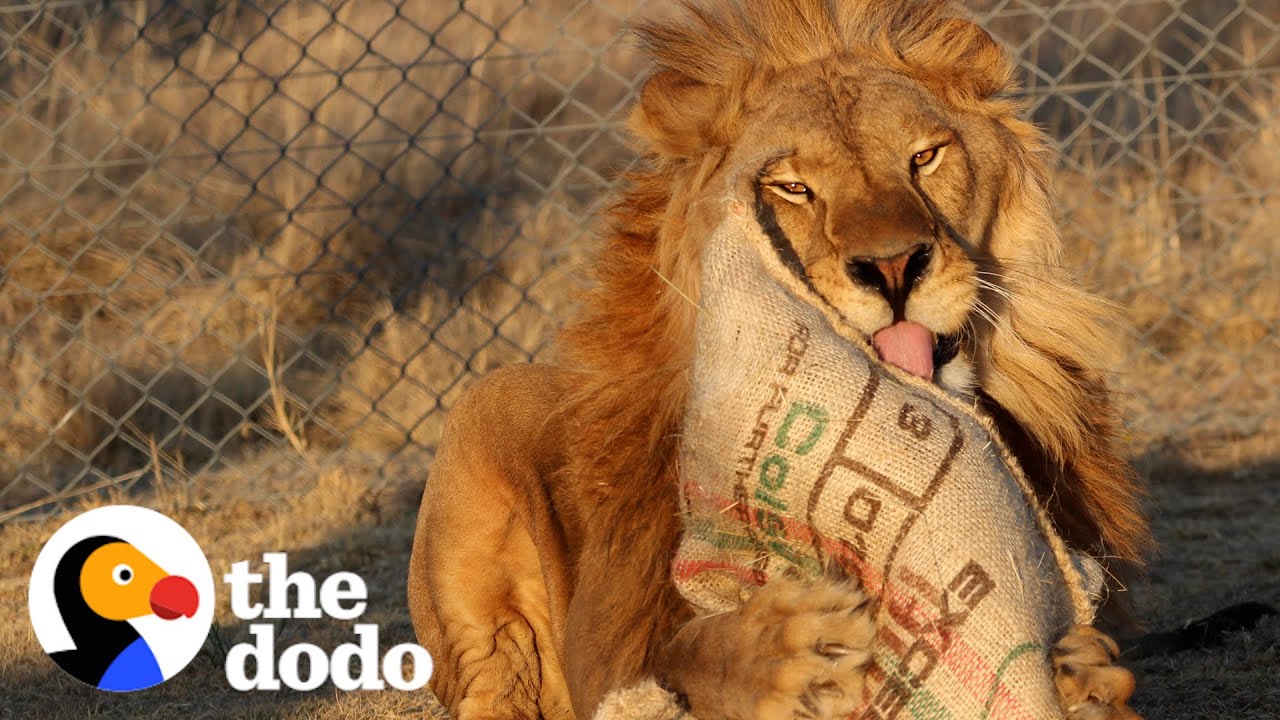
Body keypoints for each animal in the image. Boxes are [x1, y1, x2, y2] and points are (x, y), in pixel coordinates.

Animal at [406, 1, 1152, 718]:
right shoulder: (615, 647)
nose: (893, 268)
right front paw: (786, 651)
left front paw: (1082, 674)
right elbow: (681, 656)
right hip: (476, 448)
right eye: (791, 187)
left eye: (924, 157)